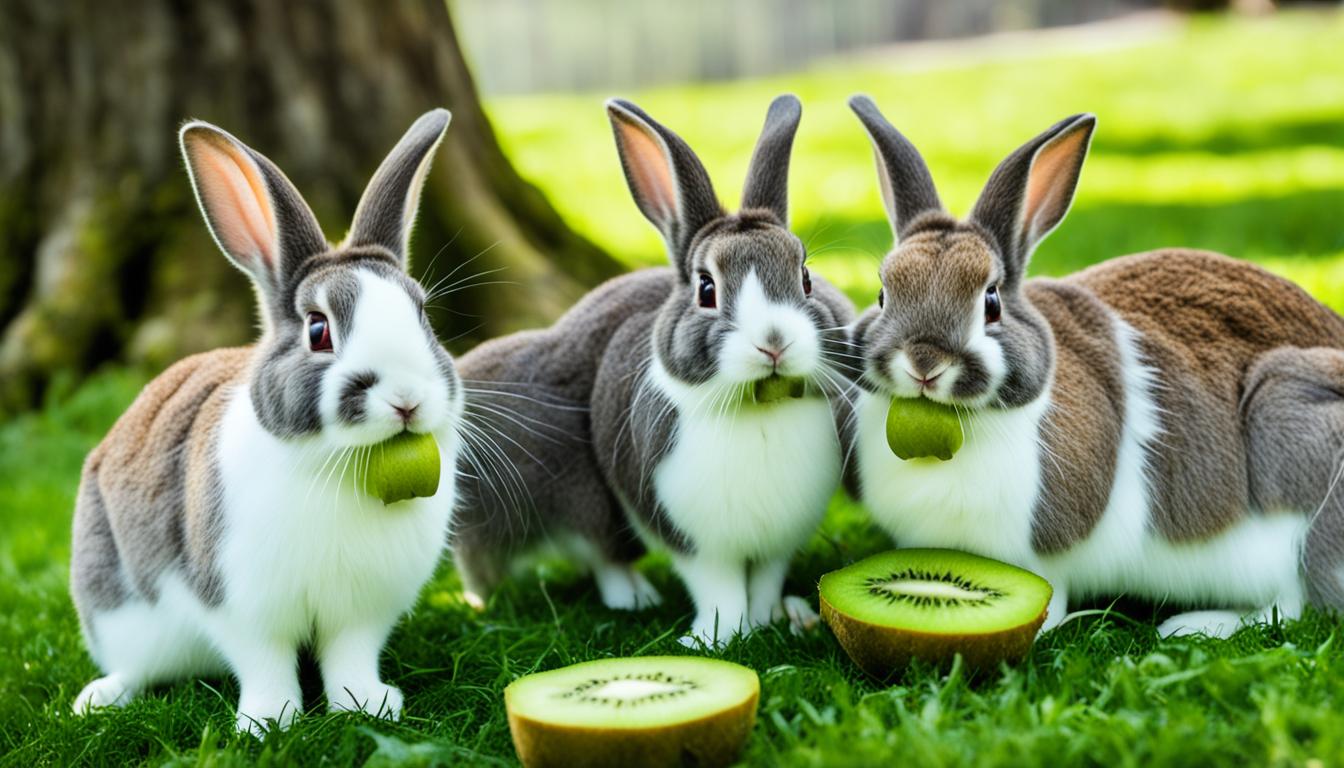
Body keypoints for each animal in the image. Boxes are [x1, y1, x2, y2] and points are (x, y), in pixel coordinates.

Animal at [69, 109, 463, 732]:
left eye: (422, 315)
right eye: (318, 330)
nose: (406, 399)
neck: (336, 464)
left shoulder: (361, 614)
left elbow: (350, 657)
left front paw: (369, 706)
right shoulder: (240, 605)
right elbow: (264, 662)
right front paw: (267, 723)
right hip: (116, 610)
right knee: (135, 667)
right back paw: (97, 699)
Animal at [844, 95, 1344, 639]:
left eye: (991, 302)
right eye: (883, 295)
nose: (924, 362)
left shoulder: (1042, 561)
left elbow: (1050, 599)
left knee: (1292, 606)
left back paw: (1193, 624)